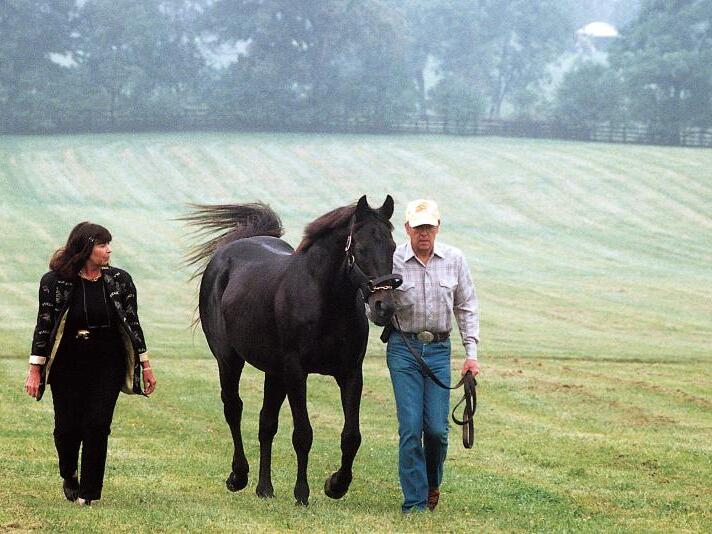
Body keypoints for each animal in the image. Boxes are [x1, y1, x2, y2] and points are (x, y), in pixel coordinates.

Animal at [183, 195, 401, 505]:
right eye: (360, 248)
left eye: (392, 246)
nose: (385, 307)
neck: (325, 301)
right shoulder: (296, 372)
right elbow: (303, 434)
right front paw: (302, 494)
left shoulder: (350, 373)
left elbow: (351, 436)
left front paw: (336, 485)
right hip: (228, 359)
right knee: (233, 408)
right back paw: (238, 476)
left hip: (274, 372)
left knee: (266, 423)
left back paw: (264, 488)